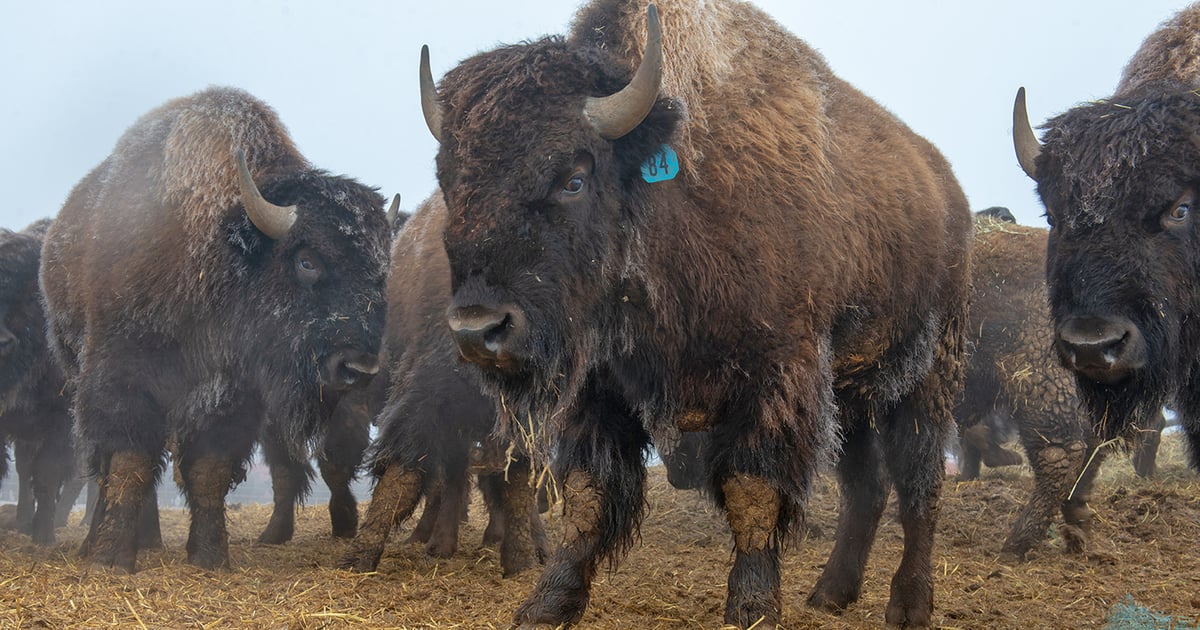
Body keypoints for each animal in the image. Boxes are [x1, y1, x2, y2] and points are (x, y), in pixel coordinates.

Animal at [40, 86, 391, 572]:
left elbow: (209, 468)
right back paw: (103, 541)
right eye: (306, 260)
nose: (357, 368)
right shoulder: (123, 377)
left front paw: (209, 556)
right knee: (108, 467)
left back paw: (149, 540)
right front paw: (109, 559)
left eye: (381, 272)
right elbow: (128, 461)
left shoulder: (229, 394)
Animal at [419, 0, 972, 625]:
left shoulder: (775, 377)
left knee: (919, 485)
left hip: (926, 376)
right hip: (851, 392)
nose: (477, 330)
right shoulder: (601, 389)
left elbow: (753, 492)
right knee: (867, 487)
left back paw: (910, 604)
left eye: (574, 179)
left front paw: (752, 606)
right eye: (449, 182)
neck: (670, 196)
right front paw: (547, 604)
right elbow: (588, 496)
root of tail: (949, 192)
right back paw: (831, 592)